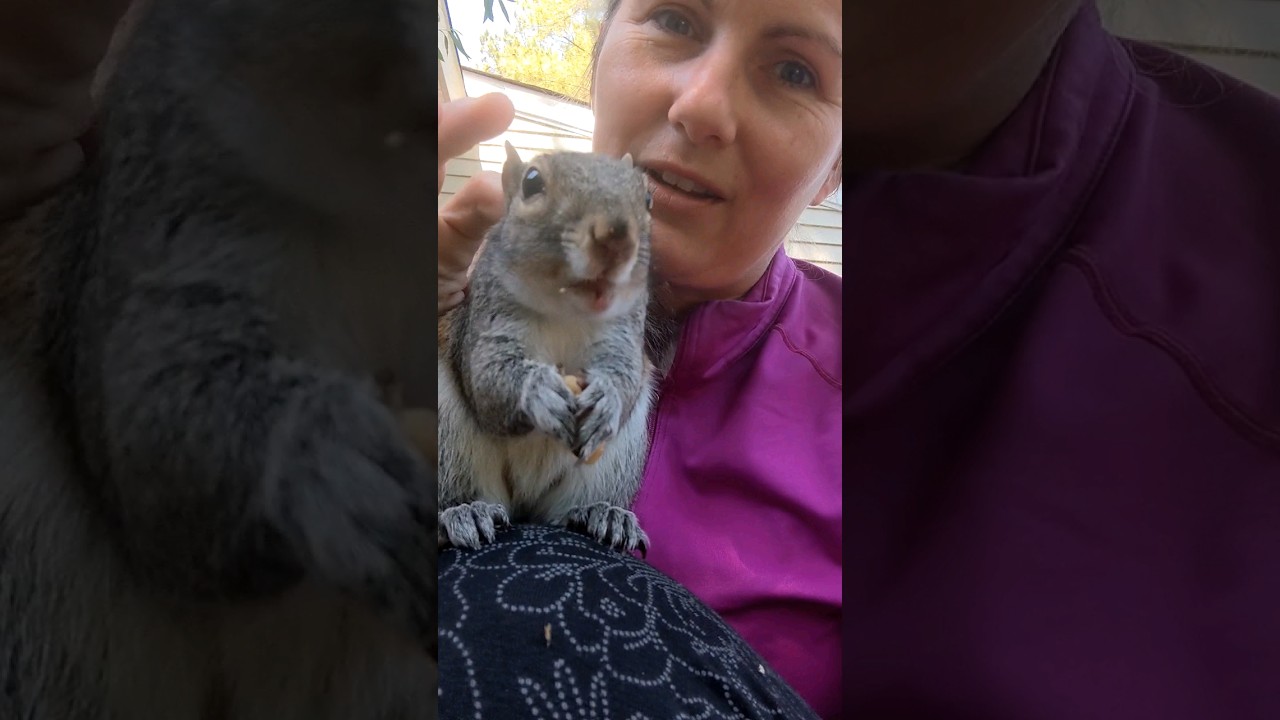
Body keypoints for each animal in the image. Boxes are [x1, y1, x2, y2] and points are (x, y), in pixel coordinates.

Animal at [437, 141, 655, 555]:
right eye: (532, 182)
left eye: (649, 198)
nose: (617, 236)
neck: (566, 312)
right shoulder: (486, 319)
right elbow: (486, 377)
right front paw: (538, 391)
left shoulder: (625, 330)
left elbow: (627, 373)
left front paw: (608, 399)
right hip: (451, 445)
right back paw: (465, 512)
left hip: (614, 461)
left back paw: (603, 514)